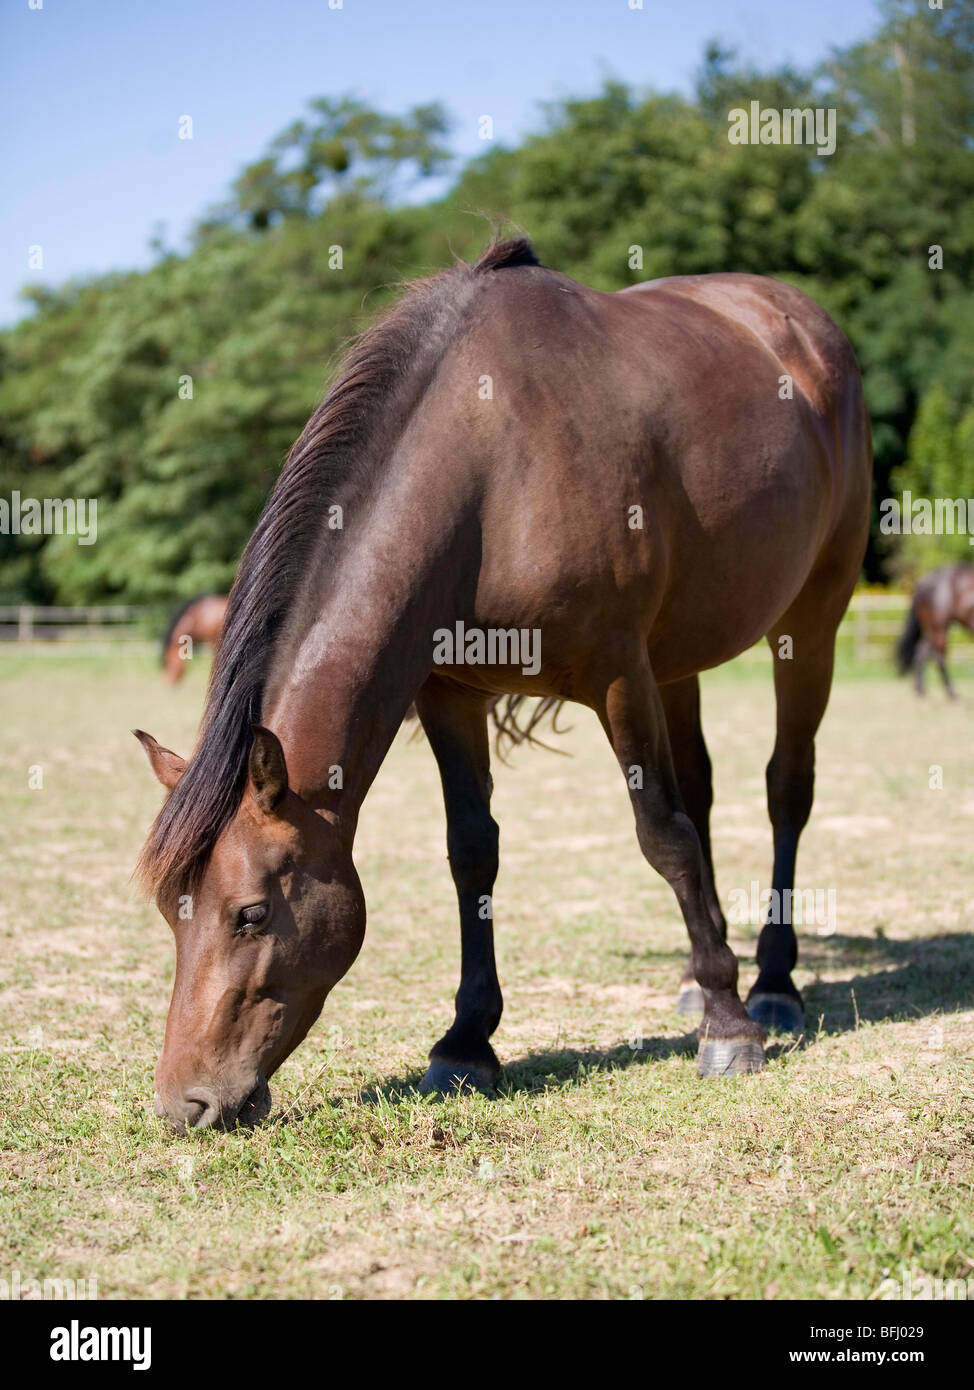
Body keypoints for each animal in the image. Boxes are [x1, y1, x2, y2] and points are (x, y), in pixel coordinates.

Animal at [135, 236, 872, 1130]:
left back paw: (769, 984)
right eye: (169, 912)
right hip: (679, 659)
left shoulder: (618, 677)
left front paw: (730, 1032)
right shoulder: (450, 692)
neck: (491, 469)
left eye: (250, 913)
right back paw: (703, 978)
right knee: (701, 794)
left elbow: (660, 836)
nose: (186, 1103)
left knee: (784, 789)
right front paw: (467, 1041)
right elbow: (473, 853)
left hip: (812, 617)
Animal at [896, 562, 974, 698]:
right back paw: (951, 693)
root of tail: (922, 583)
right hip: (939, 627)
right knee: (939, 658)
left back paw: (921, 690)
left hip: (931, 629)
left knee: (921, 652)